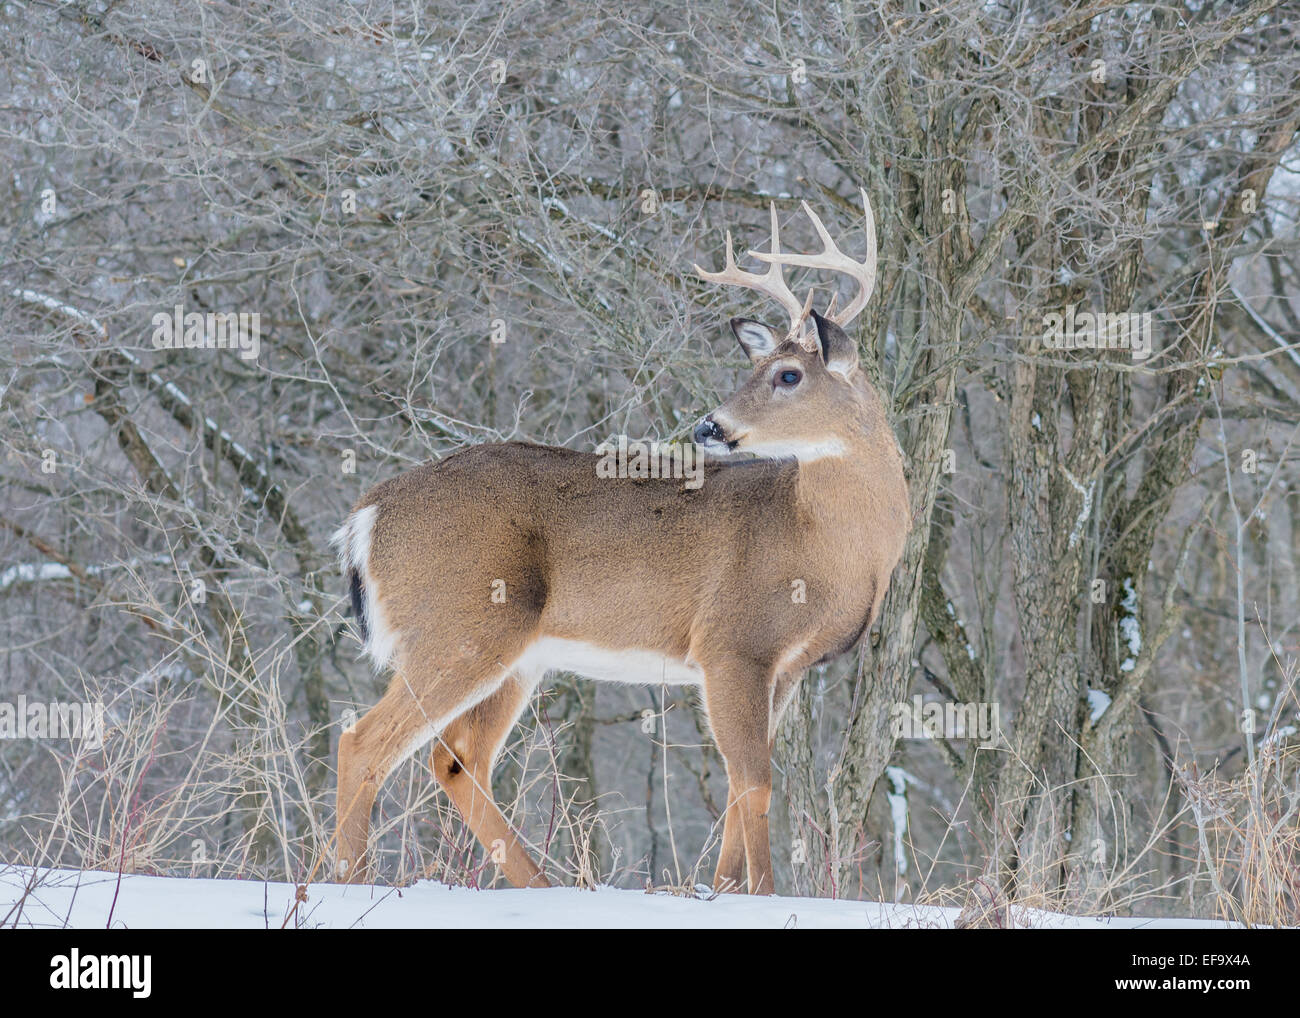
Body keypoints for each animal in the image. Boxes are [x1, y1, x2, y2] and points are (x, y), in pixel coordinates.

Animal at [331, 188, 910, 895]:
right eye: (758, 366)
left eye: (790, 375)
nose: (708, 425)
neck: (828, 546)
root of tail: (367, 514)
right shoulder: (732, 642)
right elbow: (755, 783)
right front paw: (763, 898)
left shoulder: (786, 669)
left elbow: (740, 789)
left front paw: (717, 892)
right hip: (456, 625)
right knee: (365, 741)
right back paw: (350, 880)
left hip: (516, 655)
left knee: (458, 760)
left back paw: (541, 887)